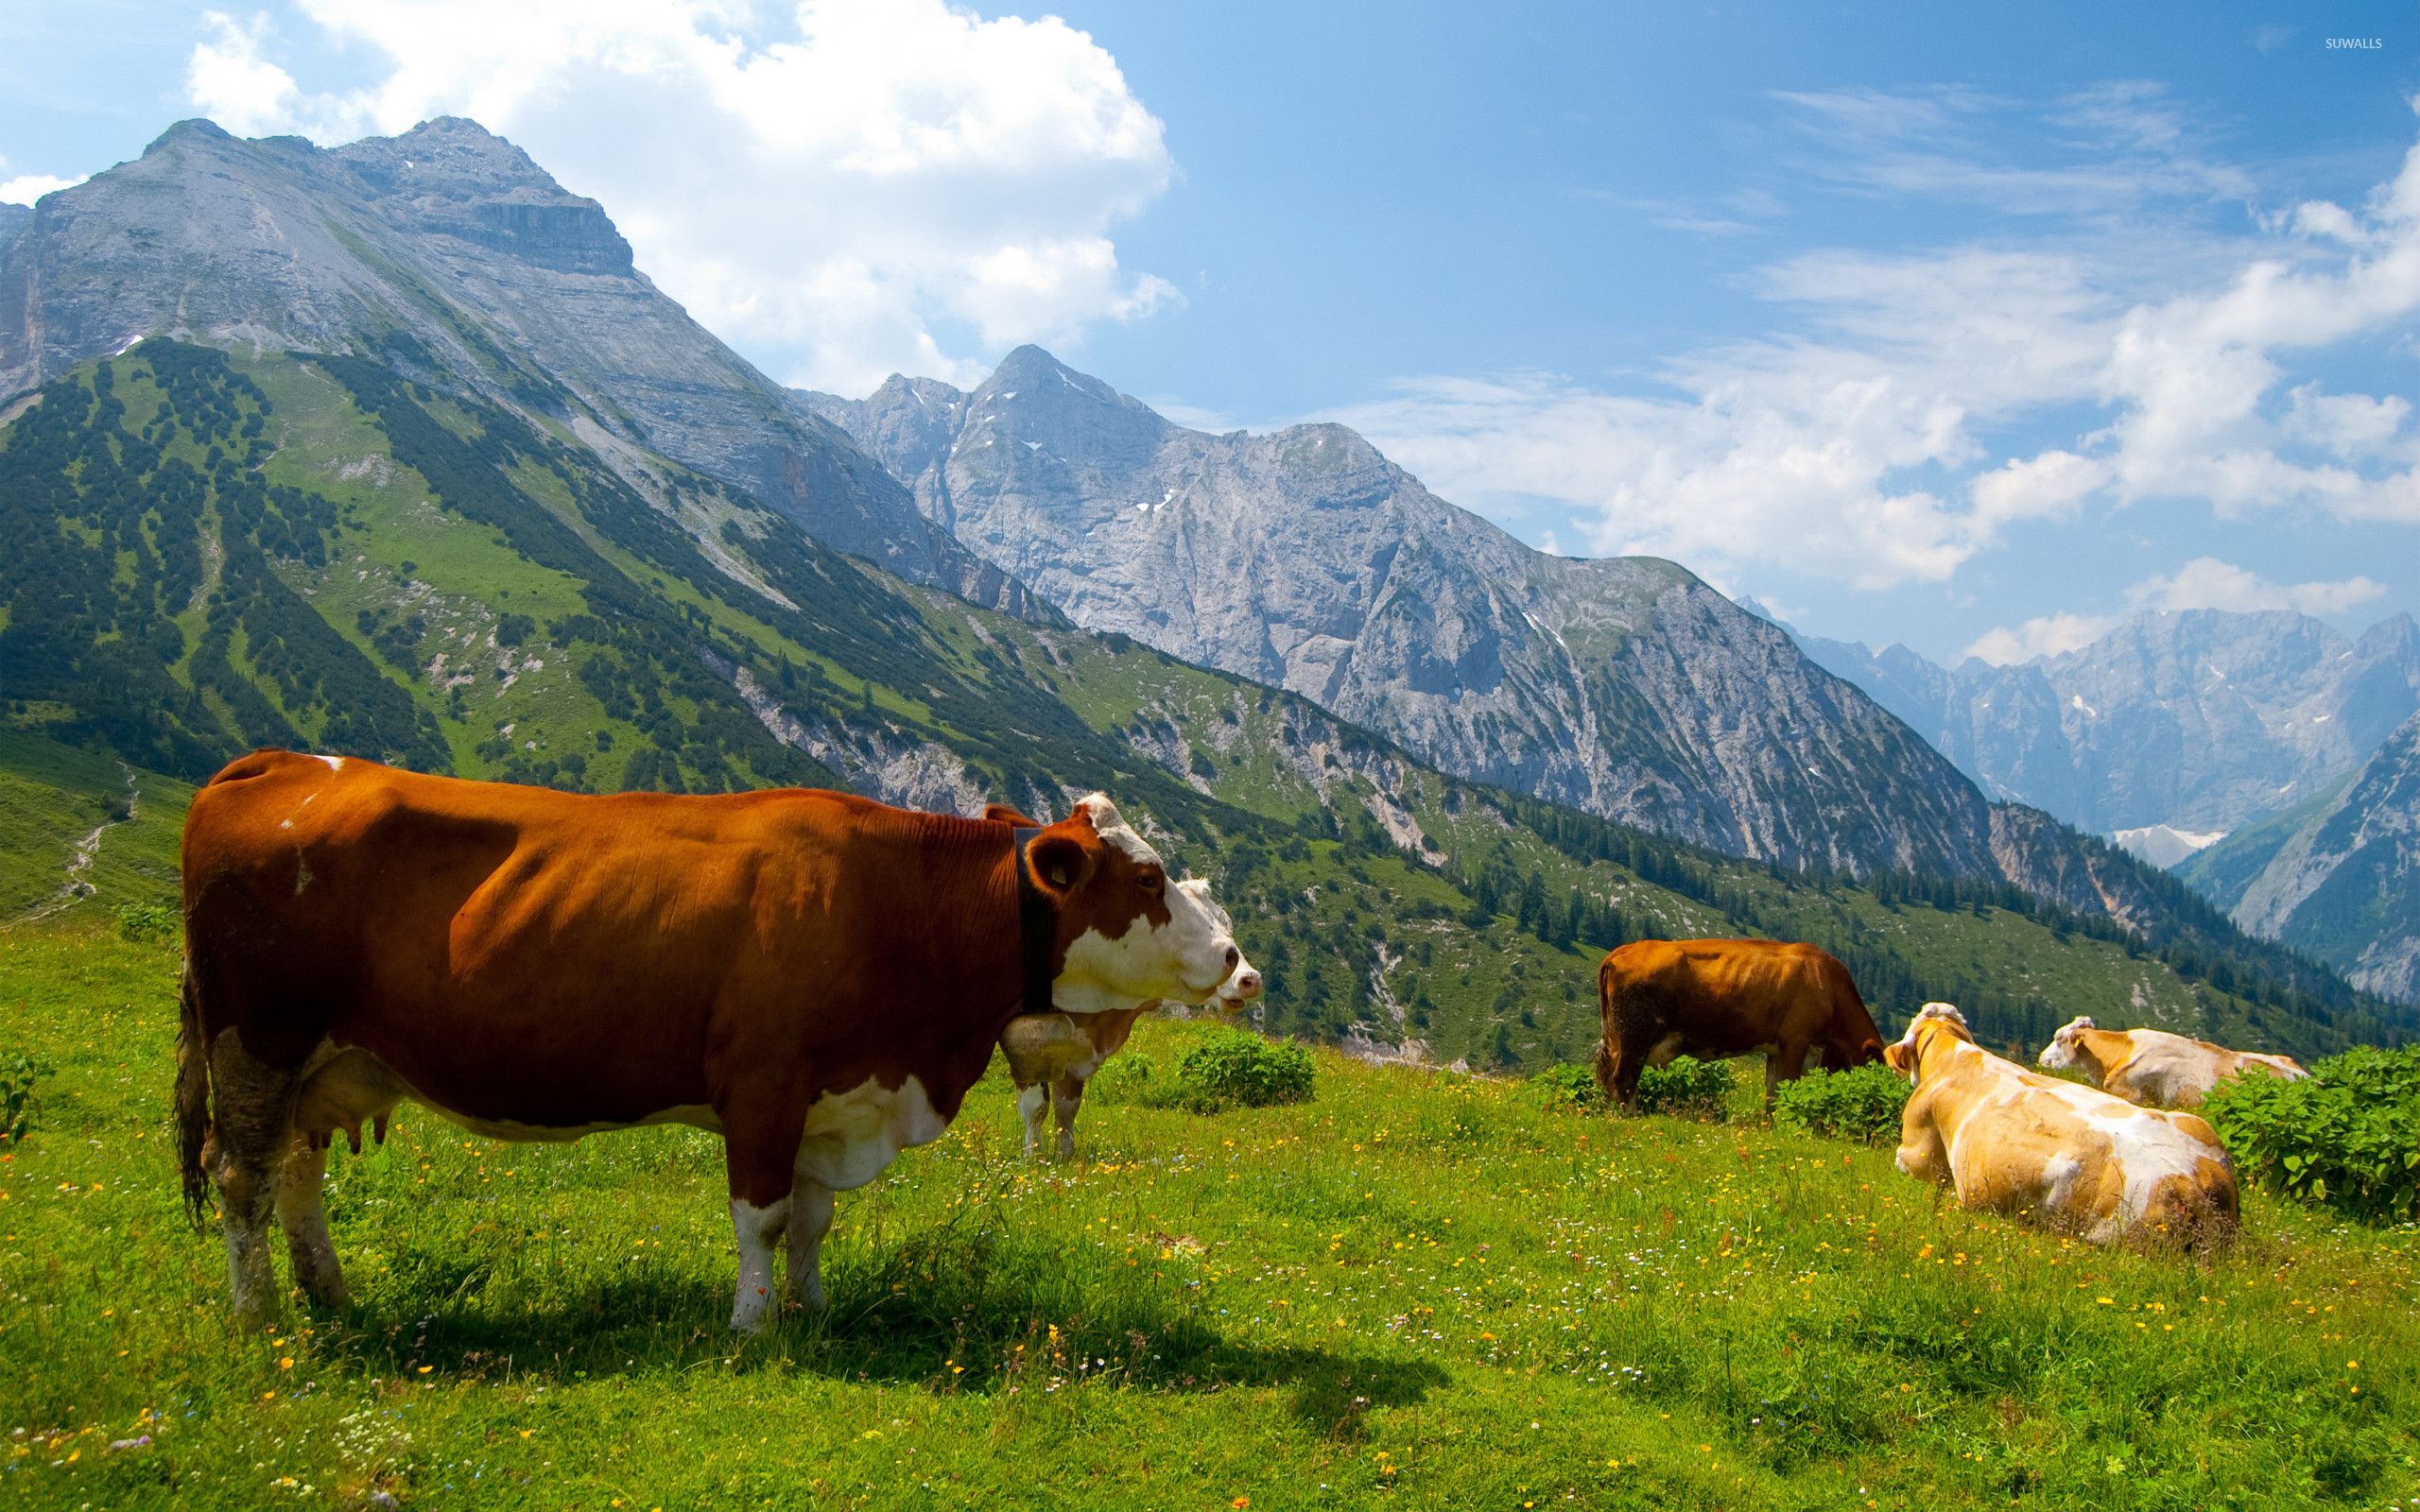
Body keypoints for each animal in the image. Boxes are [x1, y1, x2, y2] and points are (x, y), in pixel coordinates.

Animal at [999, 942, 1262, 1161]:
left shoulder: (1076, 1051)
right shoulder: (1024, 1039)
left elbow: (1066, 1108)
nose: (1252, 979)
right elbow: (1036, 1107)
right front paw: (1033, 1159)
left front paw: (1065, 1157)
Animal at [1592, 938, 1883, 1109]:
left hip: (1617, 1037)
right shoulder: (1796, 1042)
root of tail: (1624, 950)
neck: (1828, 986)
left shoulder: (1779, 1049)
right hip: (1635, 1038)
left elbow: (1773, 1091)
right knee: (1624, 1078)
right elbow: (1787, 1086)